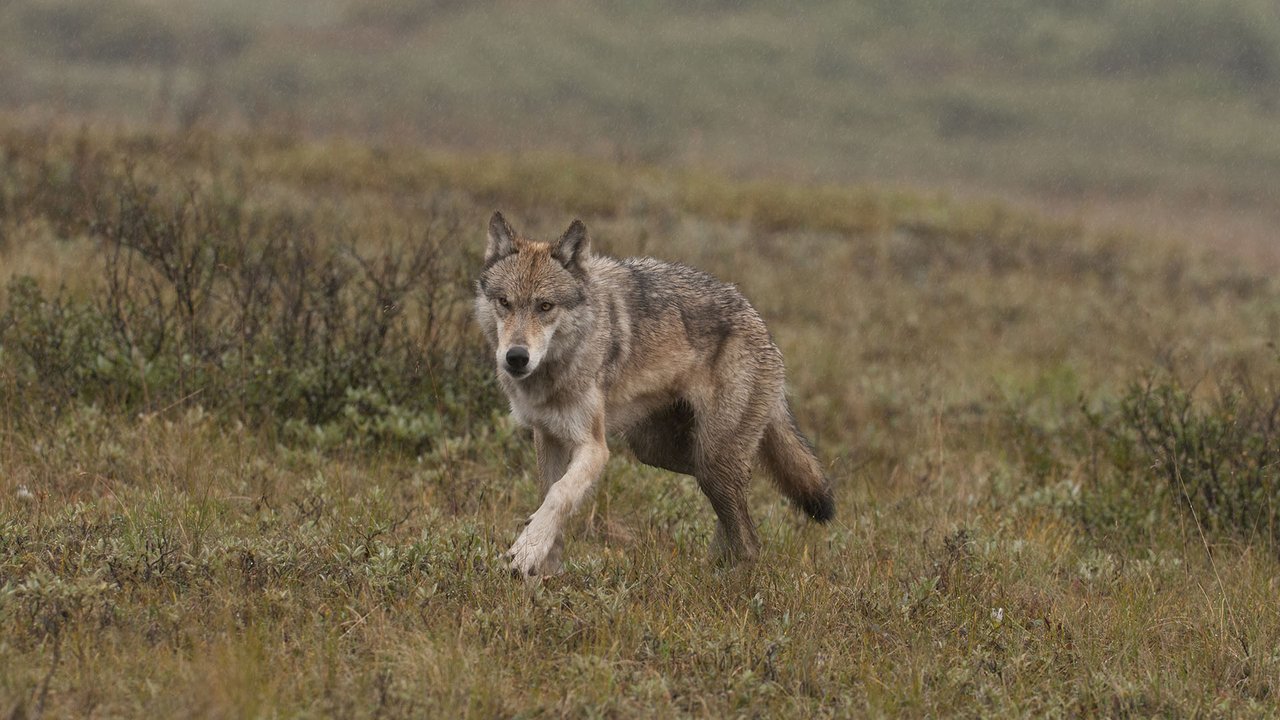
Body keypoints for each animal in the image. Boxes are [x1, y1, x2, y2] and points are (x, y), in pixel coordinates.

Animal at [475, 212, 834, 577]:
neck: (554, 371)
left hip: (710, 458)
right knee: (736, 504)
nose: (516, 357)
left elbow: (559, 495)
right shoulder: (547, 436)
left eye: (545, 306)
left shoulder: (594, 448)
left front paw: (525, 553)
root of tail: (760, 322)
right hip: (659, 450)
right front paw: (544, 574)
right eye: (504, 303)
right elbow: (549, 496)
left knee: (749, 539)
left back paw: (731, 578)